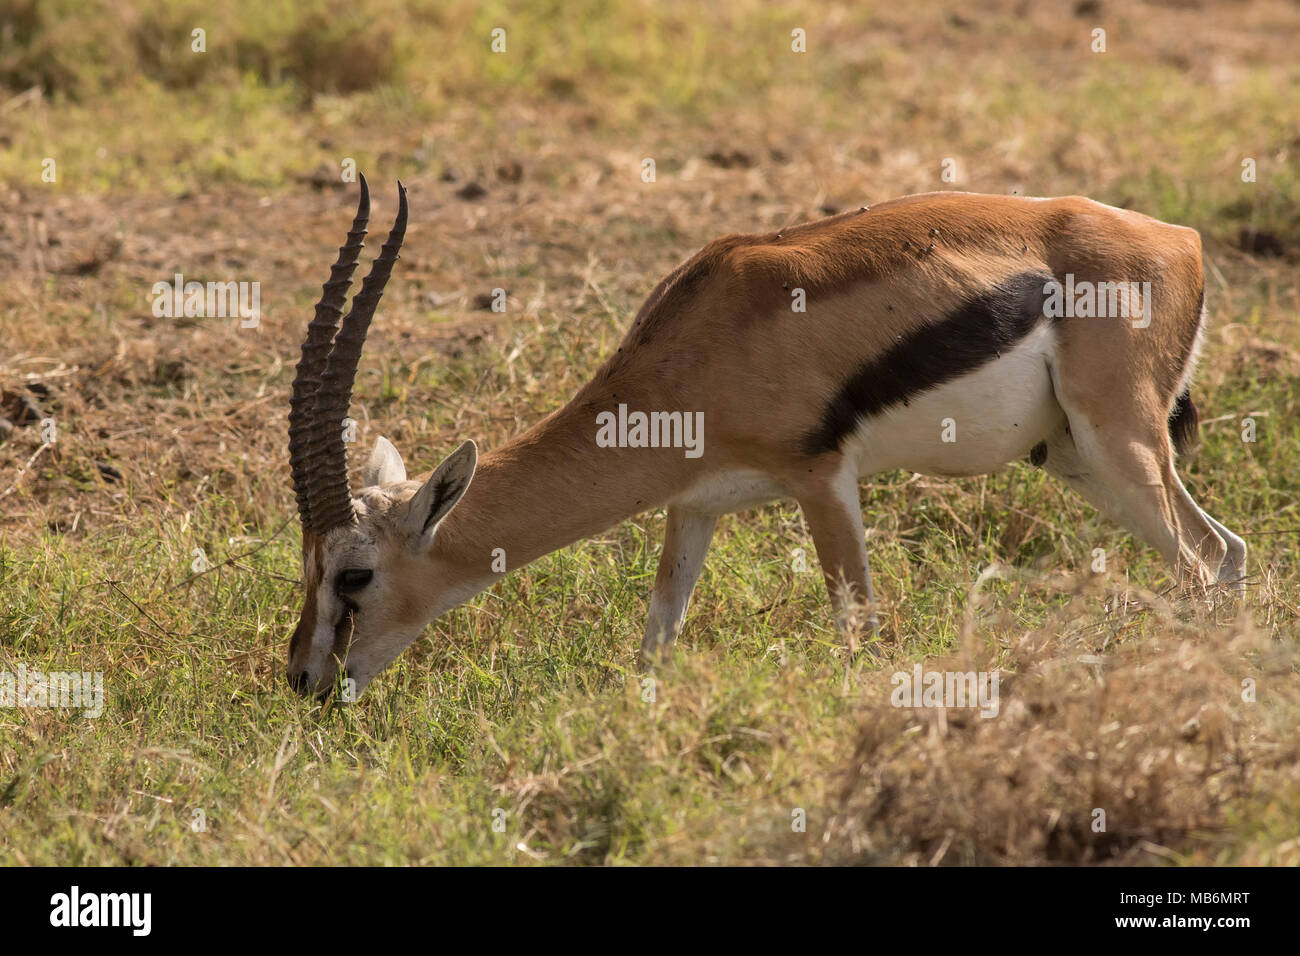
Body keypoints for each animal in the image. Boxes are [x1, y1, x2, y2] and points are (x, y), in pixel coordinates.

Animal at [286, 175, 1245, 699]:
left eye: (354, 575)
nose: (302, 678)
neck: (696, 347)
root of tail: (1181, 241)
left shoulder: (820, 479)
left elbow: (860, 631)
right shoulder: (695, 507)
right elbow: (657, 638)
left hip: (1119, 443)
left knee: (1200, 562)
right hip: (1079, 461)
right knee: (1226, 553)